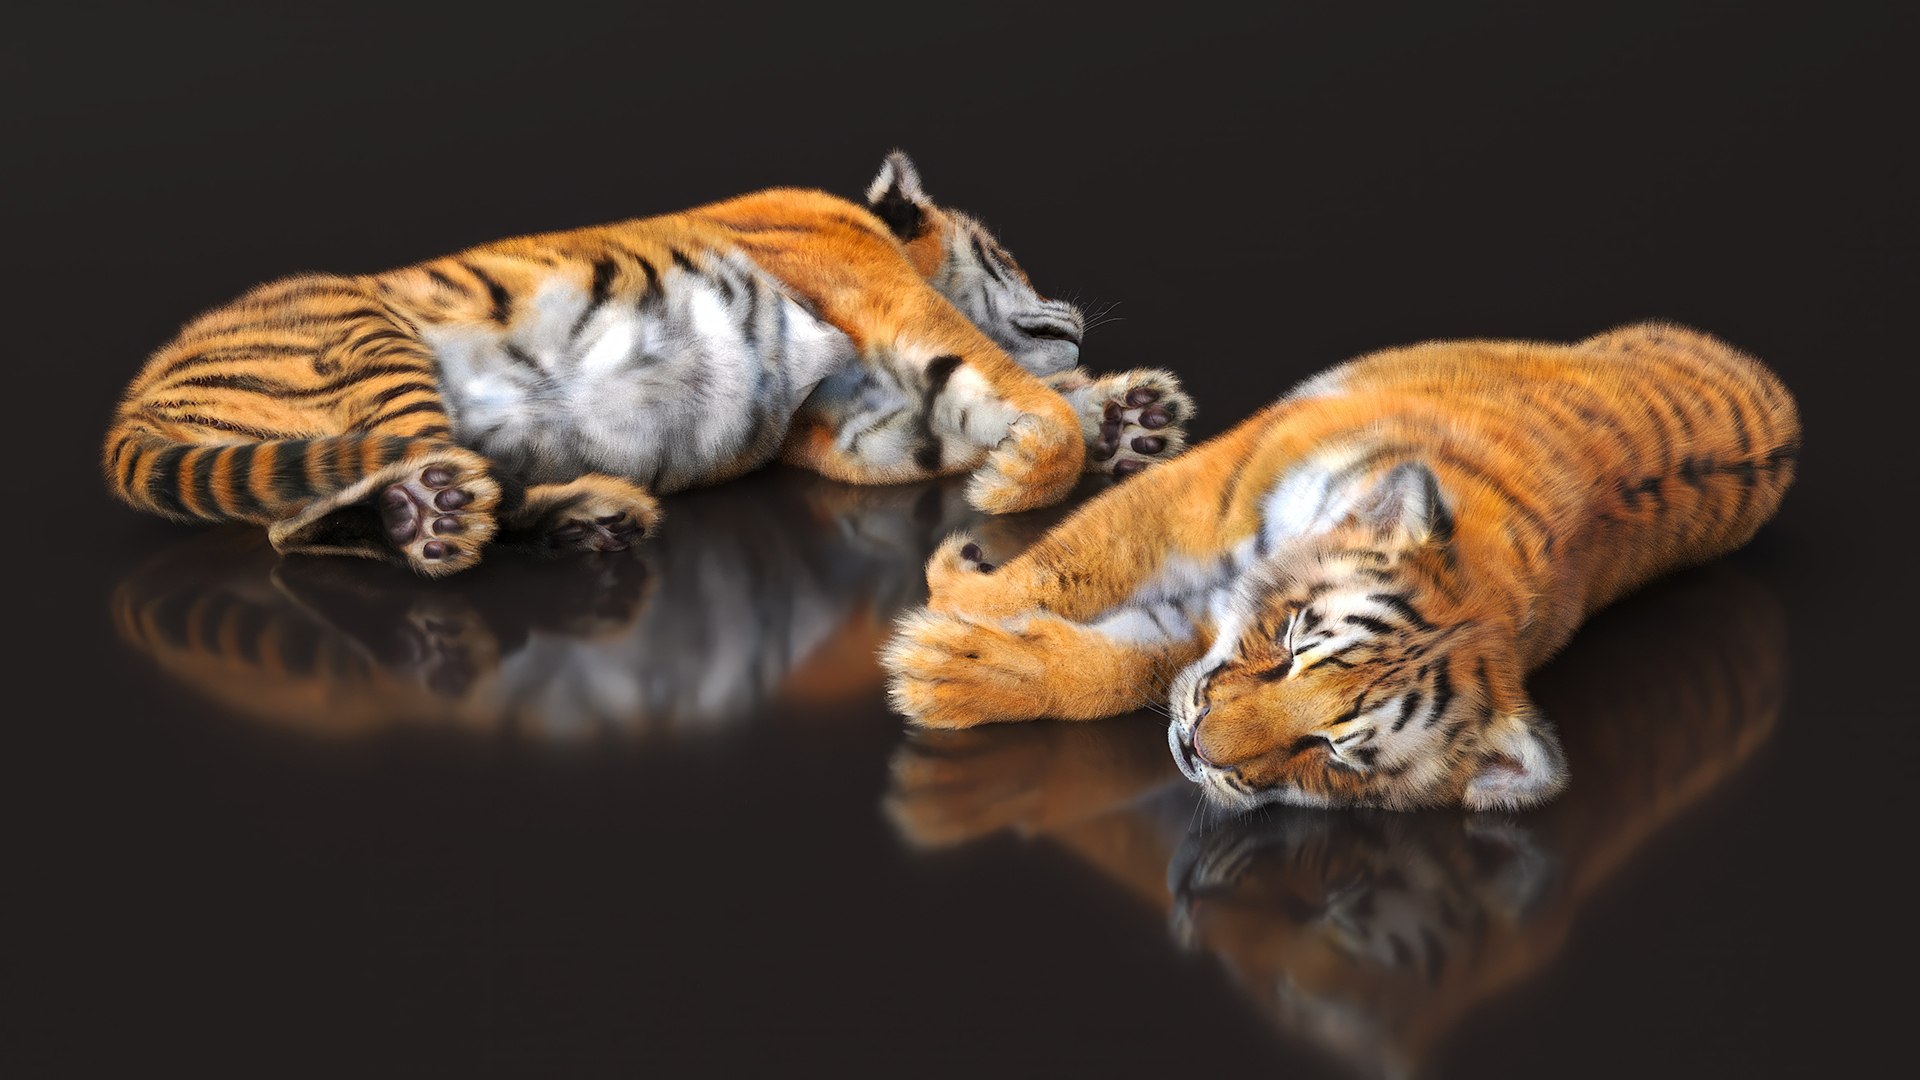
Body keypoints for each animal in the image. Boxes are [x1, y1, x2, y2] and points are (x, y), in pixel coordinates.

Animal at [101, 152, 1191, 577]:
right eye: (1006, 255)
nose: (1074, 318)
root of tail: (134, 400)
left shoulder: (856, 422)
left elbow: (967, 406)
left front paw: (1128, 416)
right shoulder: (878, 288)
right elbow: (992, 371)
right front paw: (1034, 466)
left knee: (299, 525)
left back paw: (575, 517)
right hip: (368, 338)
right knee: (415, 477)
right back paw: (487, 516)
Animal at [883, 321, 1798, 811]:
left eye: (1332, 754)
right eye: (1290, 643)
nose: (1200, 752)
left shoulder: (1193, 620)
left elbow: (1117, 668)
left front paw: (946, 670)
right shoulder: (1202, 494)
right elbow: (1070, 566)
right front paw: (957, 592)